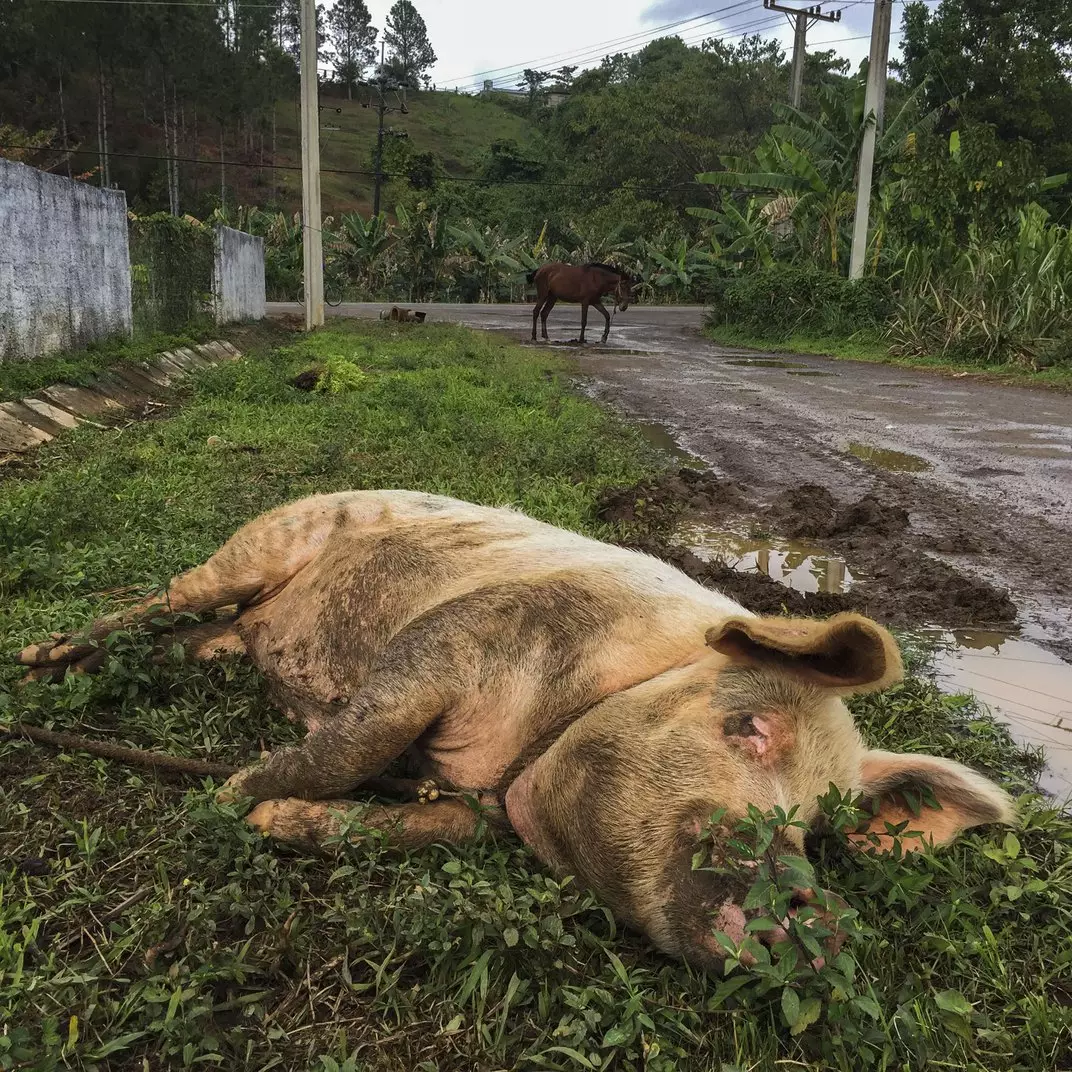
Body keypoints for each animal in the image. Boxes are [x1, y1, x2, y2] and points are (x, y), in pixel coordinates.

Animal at [20, 490, 1016, 973]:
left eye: (822, 821)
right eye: (748, 726)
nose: (816, 913)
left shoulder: (478, 809)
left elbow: (404, 826)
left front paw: (274, 823)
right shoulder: (451, 643)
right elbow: (353, 742)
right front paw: (226, 804)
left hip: (227, 631)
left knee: (188, 642)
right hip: (257, 547)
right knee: (160, 599)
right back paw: (41, 658)